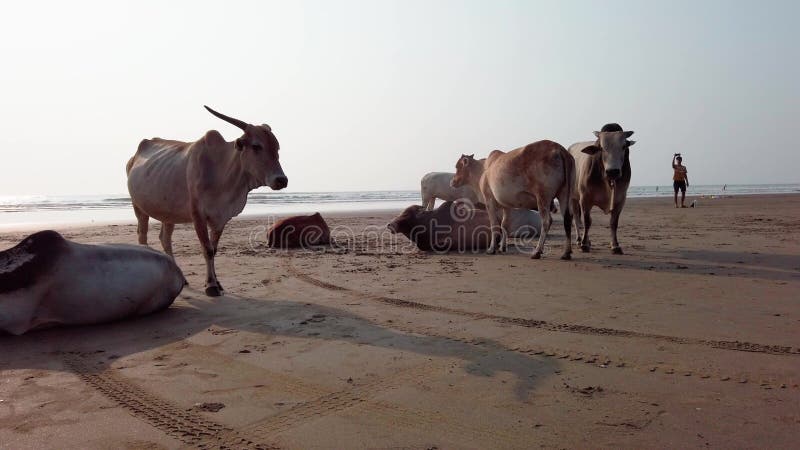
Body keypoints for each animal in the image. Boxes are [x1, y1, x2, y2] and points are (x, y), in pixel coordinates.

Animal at [127, 106, 287, 296]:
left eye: (277, 147)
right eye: (256, 146)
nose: (281, 180)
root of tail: (135, 157)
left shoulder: (221, 218)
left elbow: (214, 249)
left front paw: (217, 283)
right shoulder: (198, 216)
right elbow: (207, 249)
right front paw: (211, 286)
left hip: (168, 214)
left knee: (165, 239)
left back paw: (183, 279)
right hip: (139, 207)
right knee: (142, 236)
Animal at [568, 123, 635, 254]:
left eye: (624, 146)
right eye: (602, 148)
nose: (613, 171)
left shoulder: (620, 200)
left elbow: (613, 223)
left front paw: (615, 245)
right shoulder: (585, 199)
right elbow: (587, 221)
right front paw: (584, 244)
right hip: (573, 198)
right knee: (577, 219)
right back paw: (579, 240)